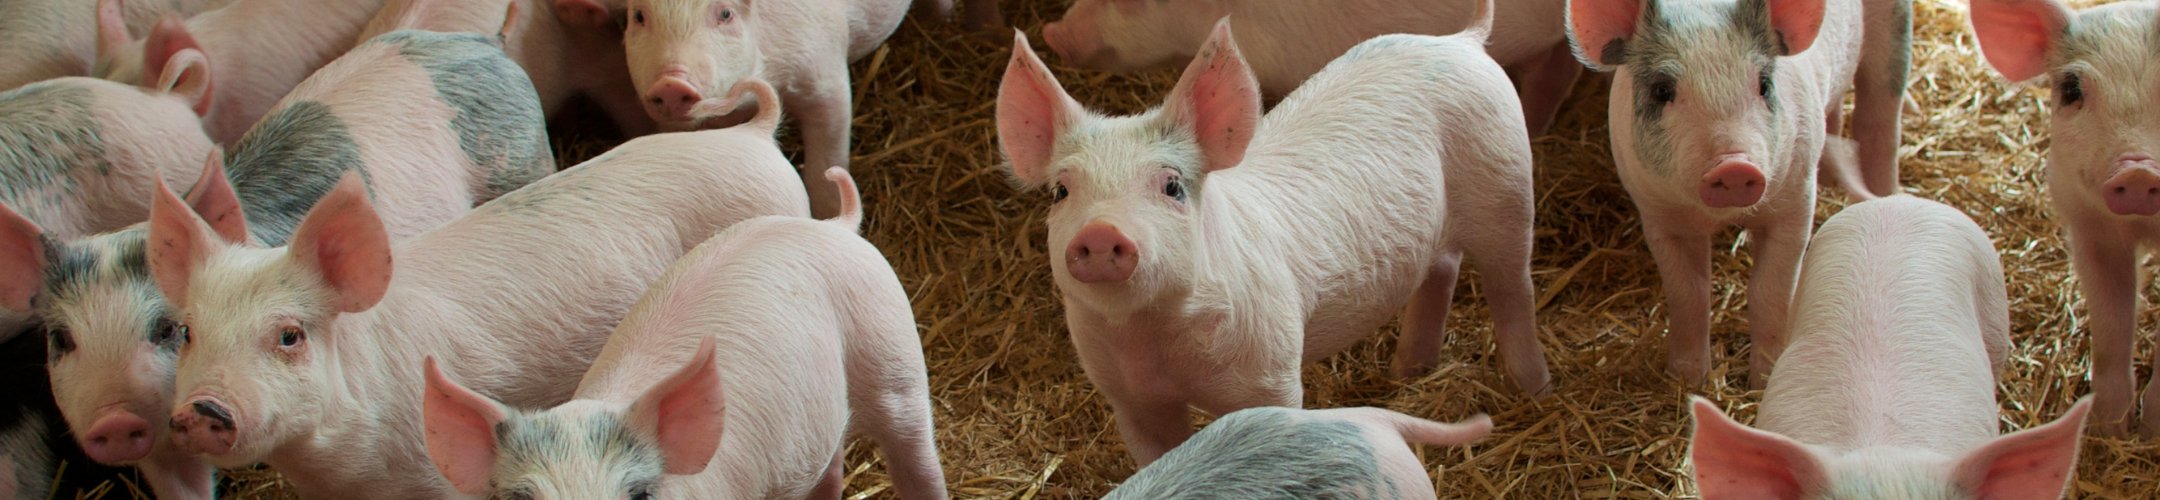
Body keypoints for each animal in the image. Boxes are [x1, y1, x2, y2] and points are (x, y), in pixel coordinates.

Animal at [996, 8, 1551, 464]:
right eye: (1061, 191)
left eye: (1172, 185)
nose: (1100, 230)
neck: (1153, 338)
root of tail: (1464, 41)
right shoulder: (1129, 399)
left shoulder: (1271, 369)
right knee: (1442, 269)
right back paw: (1406, 372)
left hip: (1506, 181)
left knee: (1512, 285)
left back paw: (1534, 389)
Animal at [1563, 0, 1907, 386]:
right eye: (1662, 91)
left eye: (1764, 85)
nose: (1734, 167)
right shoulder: (1658, 215)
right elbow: (1688, 295)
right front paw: (1686, 381)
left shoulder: (1796, 202)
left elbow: (1769, 292)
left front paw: (1763, 382)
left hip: (1893, 31)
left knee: (1879, 118)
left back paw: (1884, 196)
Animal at [1970, 0, 2160, 437]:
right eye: (2071, 89)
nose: (2137, 173)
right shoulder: (2088, 229)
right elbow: (2110, 326)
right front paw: (2110, 430)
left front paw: (2149, 435)